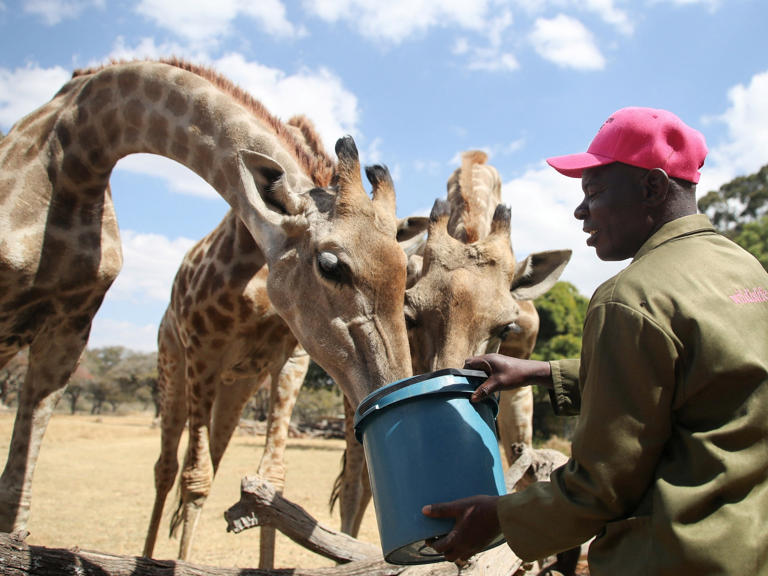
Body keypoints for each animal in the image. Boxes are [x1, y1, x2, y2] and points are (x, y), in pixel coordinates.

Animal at [0, 59, 412, 534]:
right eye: (330, 266)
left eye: (405, 272)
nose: (392, 390)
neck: (83, 149)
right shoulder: (195, 351)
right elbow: (192, 475)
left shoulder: (67, 332)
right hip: (172, 373)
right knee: (168, 468)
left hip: (235, 387)